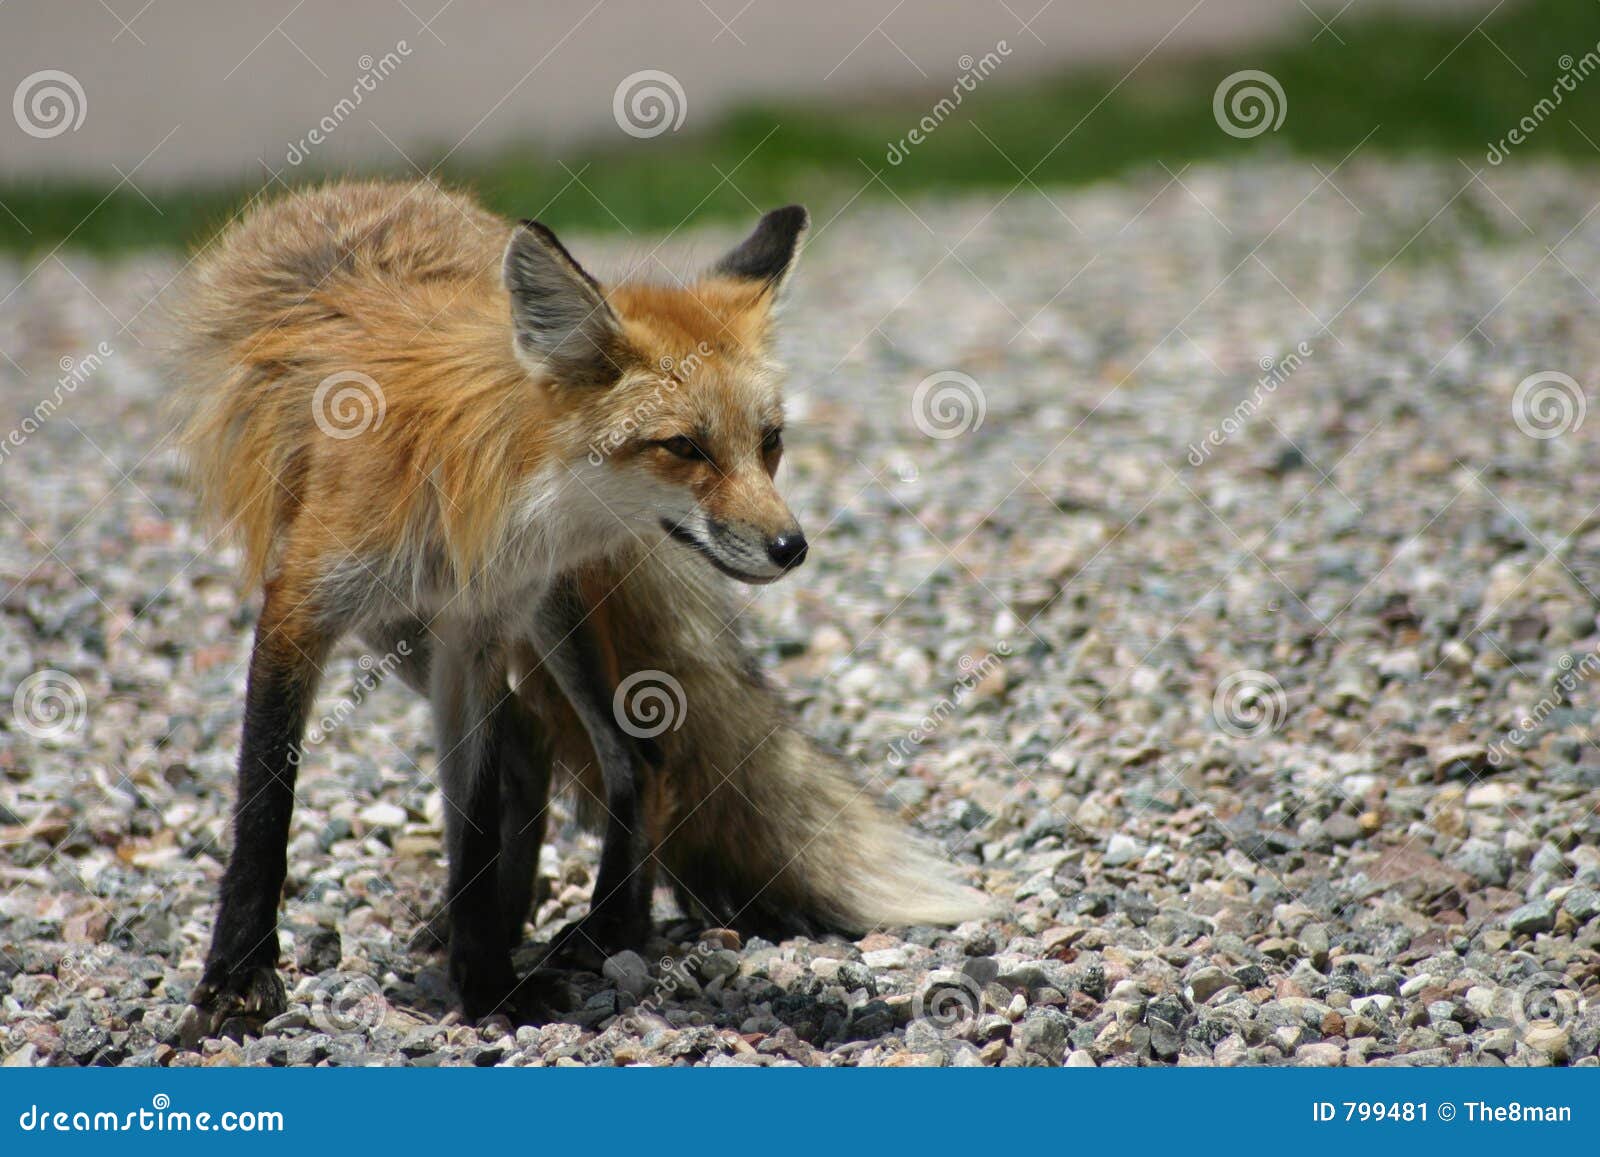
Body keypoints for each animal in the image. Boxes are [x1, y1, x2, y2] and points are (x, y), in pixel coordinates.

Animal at [169, 180, 990, 1025]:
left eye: (769, 442)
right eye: (683, 446)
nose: (791, 546)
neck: (471, 480)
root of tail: (363, 187)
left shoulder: (478, 632)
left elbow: (474, 826)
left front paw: (487, 981)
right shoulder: (303, 607)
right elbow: (265, 801)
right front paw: (238, 972)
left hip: (533, 616)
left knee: (623, 752)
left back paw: (603, 929)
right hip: (400, 627)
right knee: (536, 738)